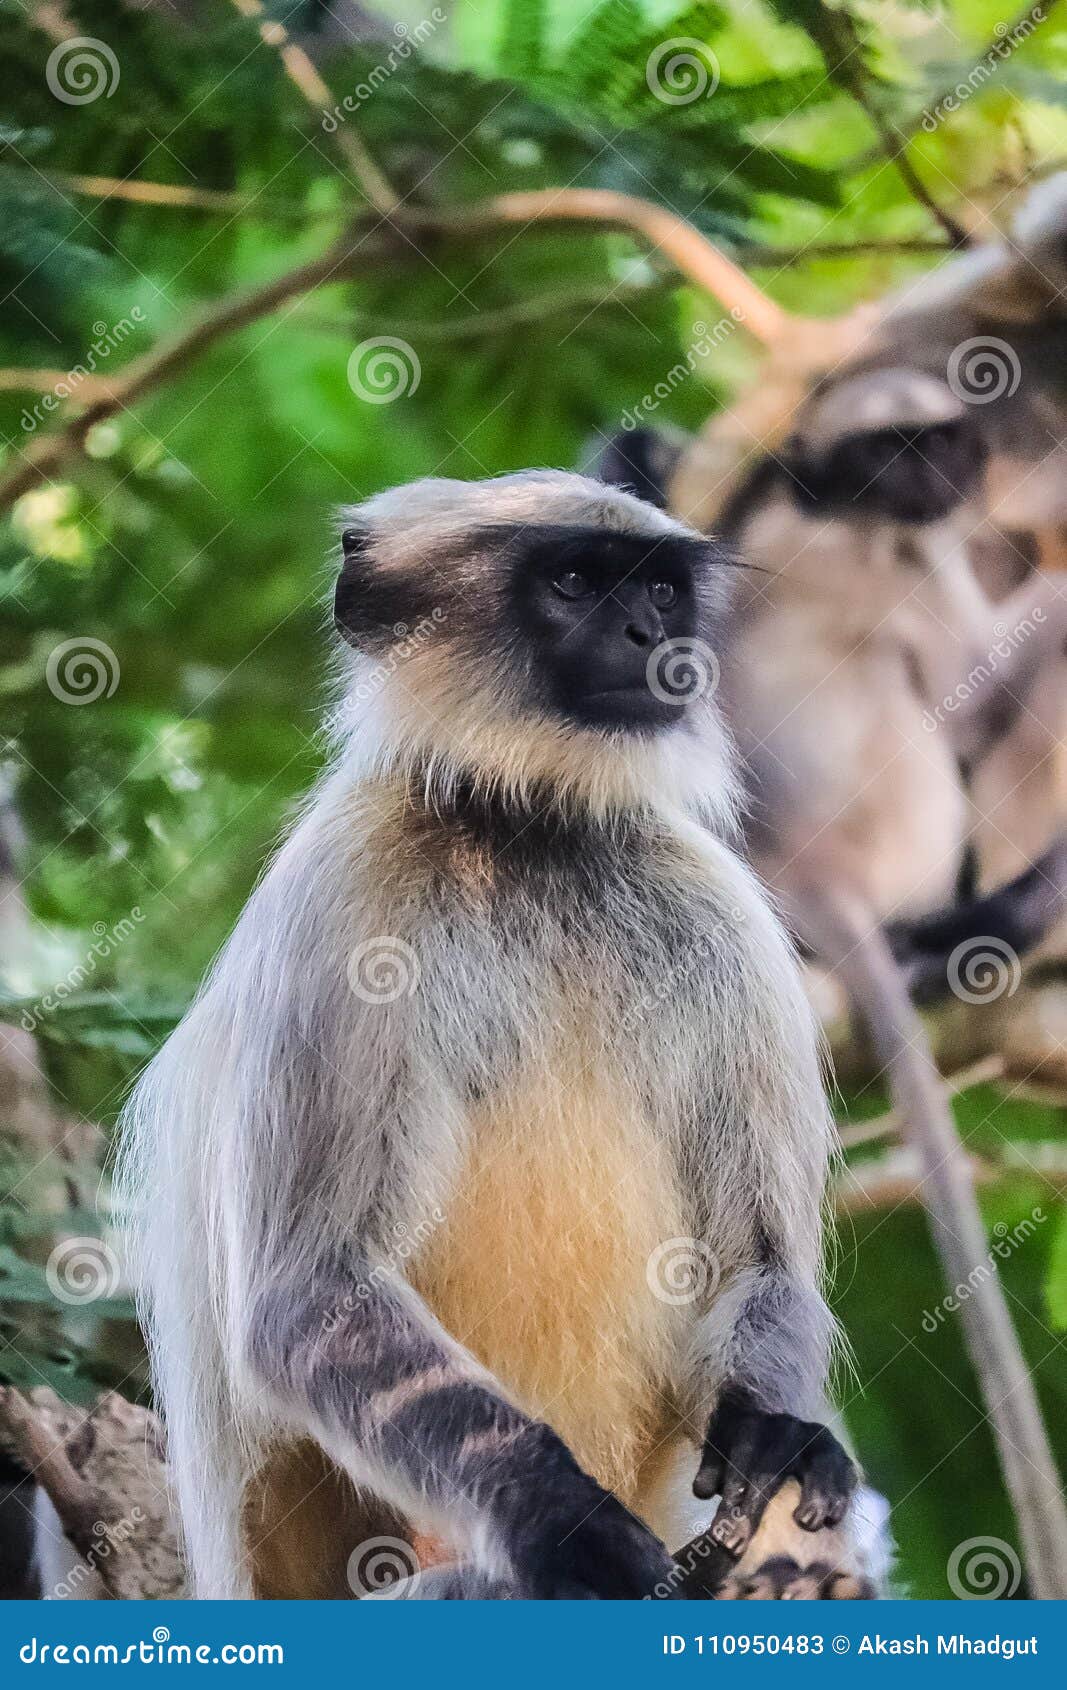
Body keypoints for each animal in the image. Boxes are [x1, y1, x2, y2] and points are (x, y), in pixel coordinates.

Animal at [117, 470, 876, 1602]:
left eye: (659, 588)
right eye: (573, 583)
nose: (653, 634)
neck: (528, 837)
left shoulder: (714, 905)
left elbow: (759, 1260)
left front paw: (770, 1438)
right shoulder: (347, 890)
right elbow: (310, 1296)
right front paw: (560, 1521)